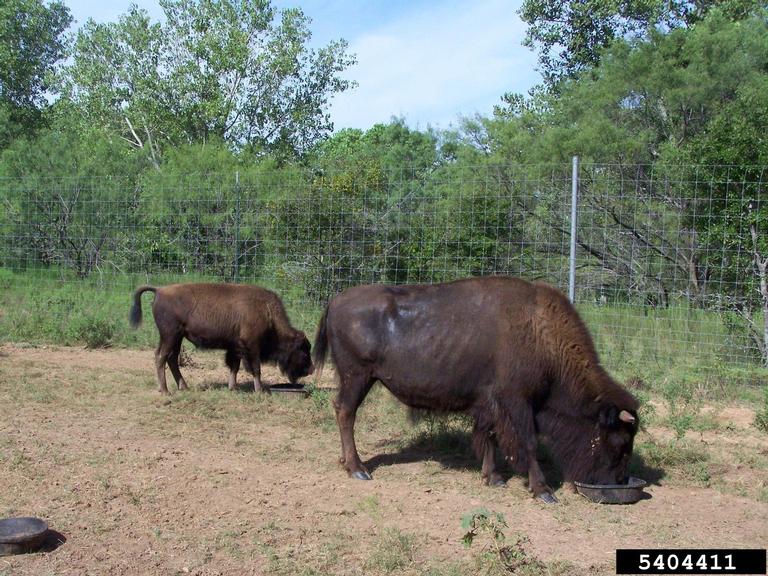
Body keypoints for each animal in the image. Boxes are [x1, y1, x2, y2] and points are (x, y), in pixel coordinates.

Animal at [130, 283, 314, 394]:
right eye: (304, 352)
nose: (311, 369)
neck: (267, 312)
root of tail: (159, 290)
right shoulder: (251, 347)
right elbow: (255, 368)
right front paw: (260, 391)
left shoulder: (235, 347)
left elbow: (234, 367)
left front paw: (233, 388)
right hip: (170, 335)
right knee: (161, 357)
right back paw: (165, 391)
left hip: (176, 338)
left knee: (171, 358)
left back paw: (184, 387)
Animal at [313, 276, 639, 503]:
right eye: (621, 442)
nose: (620, 480)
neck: (541, 334)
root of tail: (335, 301)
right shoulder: (517, 403)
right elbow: (528, 443)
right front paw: (543, 491)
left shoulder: (491, 404)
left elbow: (490, 436)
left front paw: (493, 477)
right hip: (358, 377)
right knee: (346, 412)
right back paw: (358, 469)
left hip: (357, 379)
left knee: (342, 410)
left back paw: (349, 463)